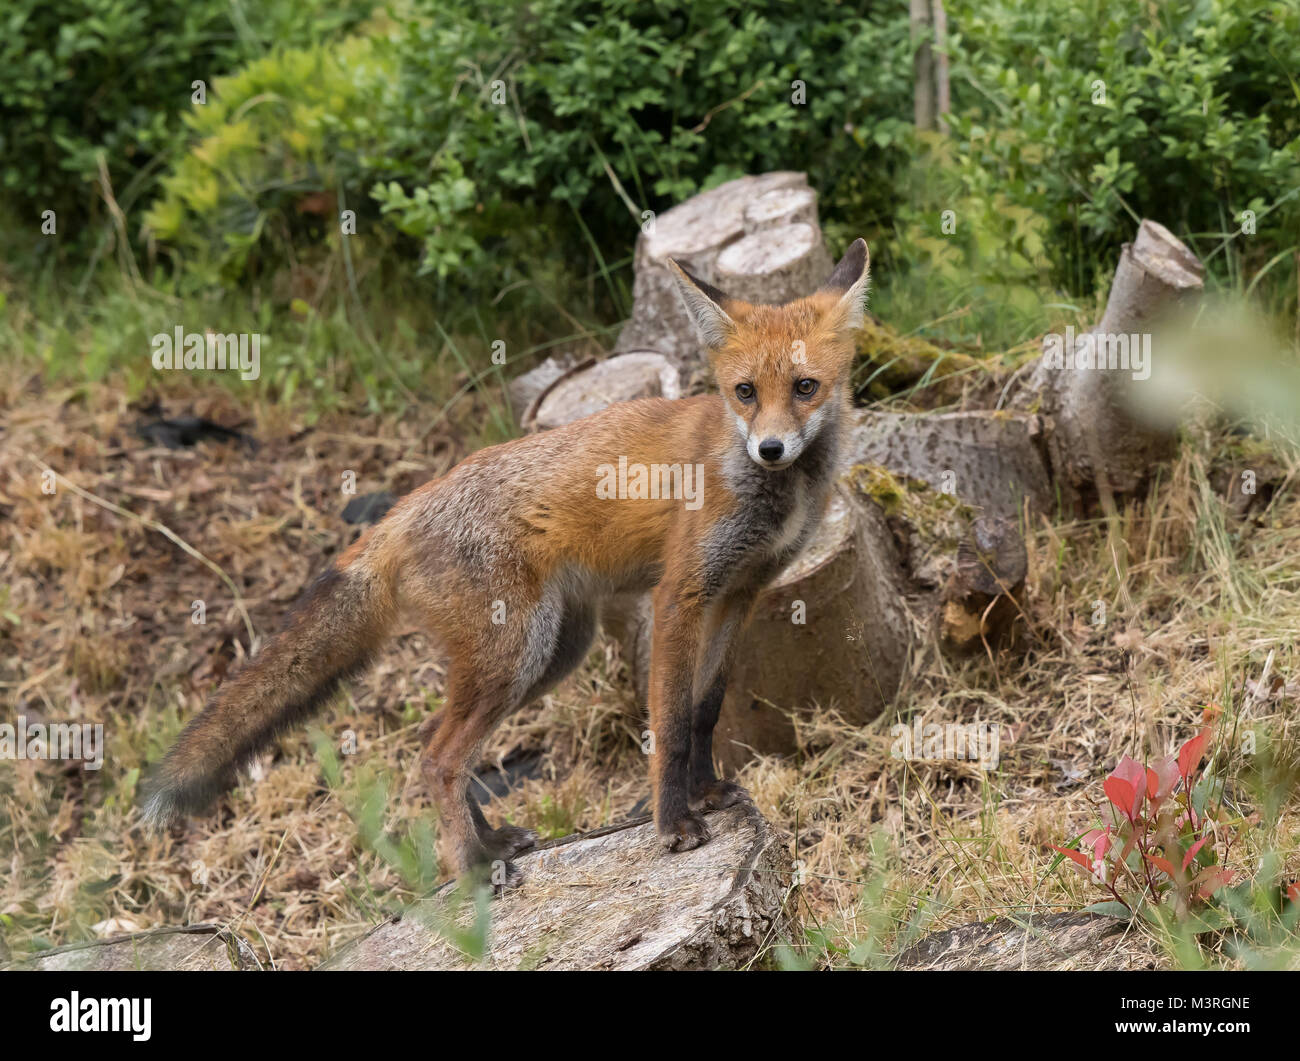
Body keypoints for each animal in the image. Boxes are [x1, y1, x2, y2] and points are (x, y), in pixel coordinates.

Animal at [142, 238, 871, 886]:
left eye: (805, 387)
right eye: (744, 392)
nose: (770, 448)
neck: (771, 492)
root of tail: (403, 510)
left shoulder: (739, 593)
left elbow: (704, 710)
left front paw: (709, 793)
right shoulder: (680, 595)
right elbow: (668, 723)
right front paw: (673, 825)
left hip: (549, 652)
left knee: (431, 743)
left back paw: (489, 840)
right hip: (517, 651)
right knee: (439, 758)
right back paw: (472, 867)